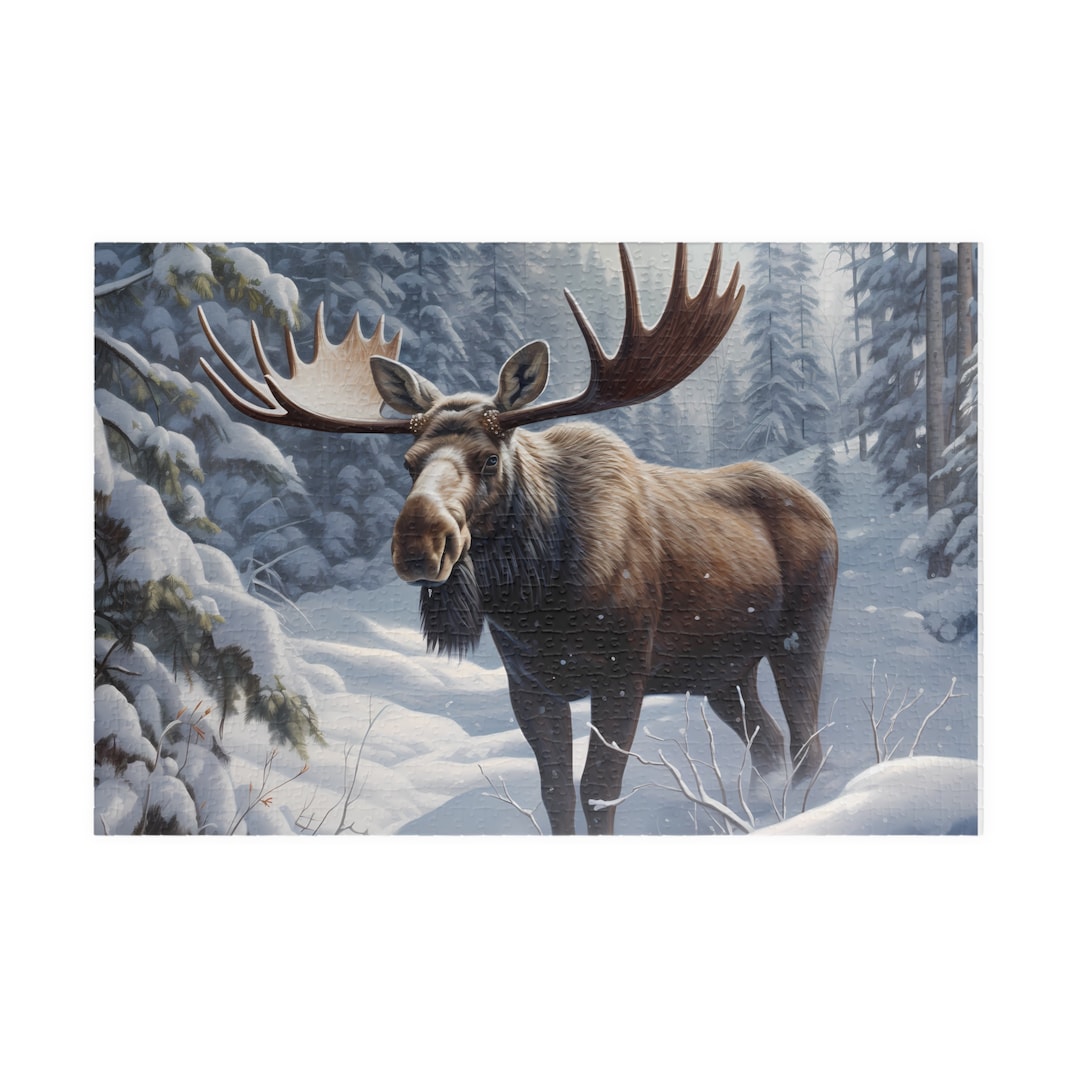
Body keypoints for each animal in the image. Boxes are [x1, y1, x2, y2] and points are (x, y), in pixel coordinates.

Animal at [198, 244, 838, 835]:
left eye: (487, 458)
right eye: (408, 463)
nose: (418, 545)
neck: (537, 597)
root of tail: (820, 507)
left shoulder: (623, 672)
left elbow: (597, 790)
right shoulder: (529, 686)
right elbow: (555, 792)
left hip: (800, 632)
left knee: (808, 742)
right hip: (722, 670)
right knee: (769, 744)